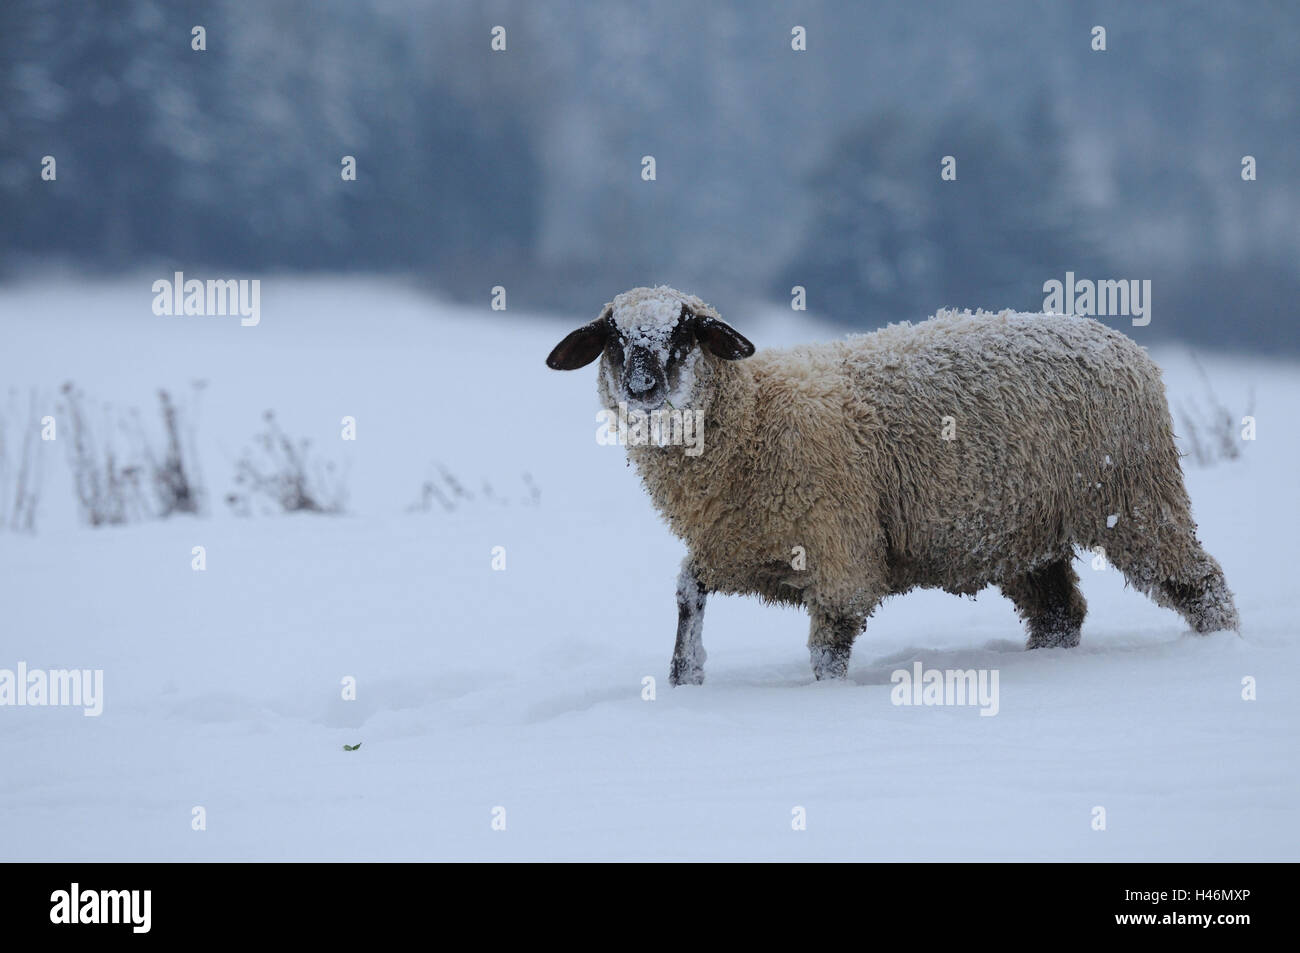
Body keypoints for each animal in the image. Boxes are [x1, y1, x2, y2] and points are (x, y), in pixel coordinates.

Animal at [547, 285, 1240, 684]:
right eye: (612, 339)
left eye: (685, 334)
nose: (642, 387)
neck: (753, 416)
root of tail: (1128, 346)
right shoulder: (736, 543)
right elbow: (688, 592)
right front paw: (684, 676)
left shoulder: (840, 554)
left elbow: (827, 653)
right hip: (1023, 530)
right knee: (1059, 613)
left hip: (1136, 502)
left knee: (1199, 584)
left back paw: (1224, 651)